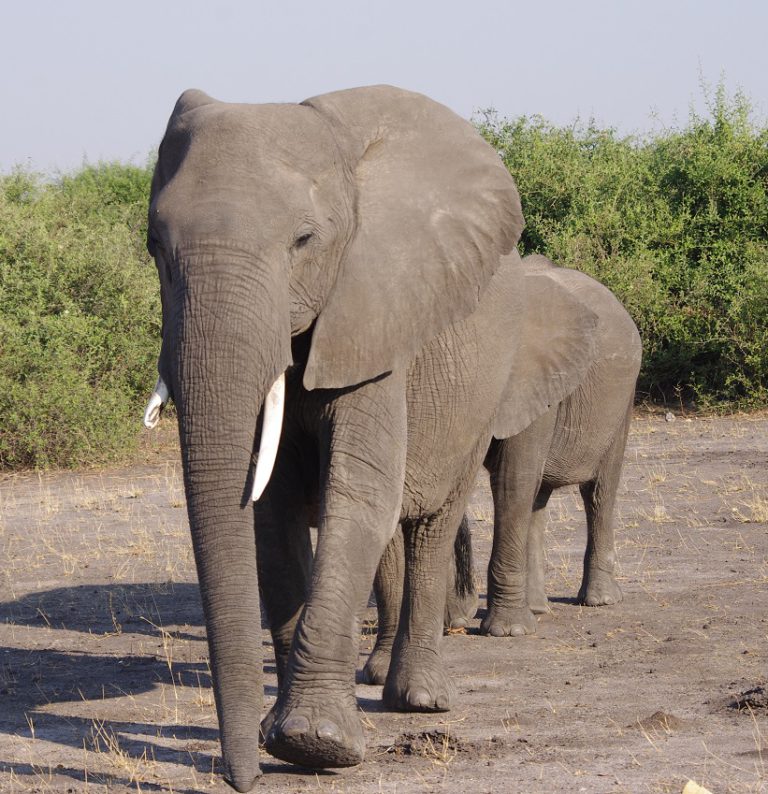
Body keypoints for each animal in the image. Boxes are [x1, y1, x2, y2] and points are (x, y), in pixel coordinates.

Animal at [142, 85, 599, 791]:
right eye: (154, 247)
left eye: (304, 240)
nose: (240, 777)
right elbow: (269, 512)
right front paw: (280, 733)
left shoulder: (378, 320)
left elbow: (358, 496)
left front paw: (313, 745)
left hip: (483, 388)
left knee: (433, 521)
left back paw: (419, 699)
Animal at [364, 255, 641, 683]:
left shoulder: (530, 373)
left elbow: (512, 479)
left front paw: (506, 632)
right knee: (538, 500)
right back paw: (538, 608)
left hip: (622, 396)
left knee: (598, 489)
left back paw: (597, 601)